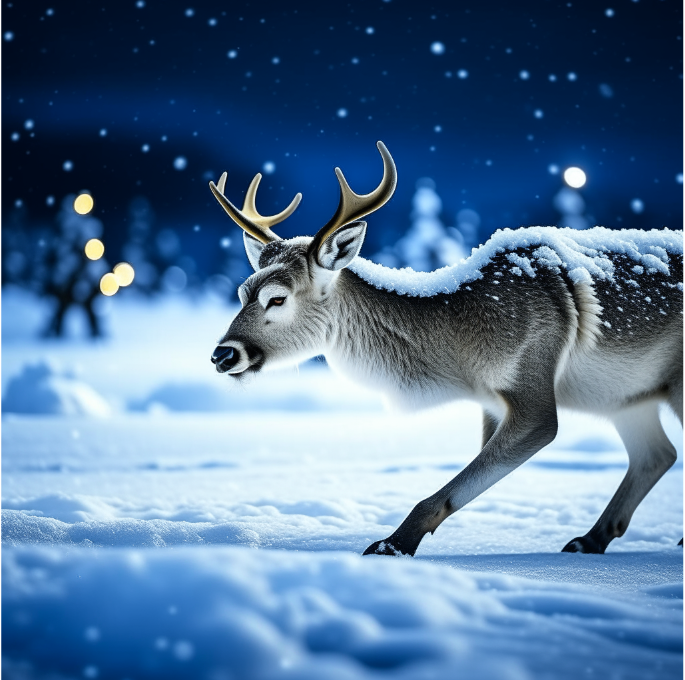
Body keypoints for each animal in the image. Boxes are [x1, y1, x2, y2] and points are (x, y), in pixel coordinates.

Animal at [209, 141, 683, 557]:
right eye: (242, 292)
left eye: (277, 298)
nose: (222, 354)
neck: (461, 363)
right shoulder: (490, 403)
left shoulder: (533, 385)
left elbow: (459, 483)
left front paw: (392, 544)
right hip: (626, 398)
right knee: (657, 455)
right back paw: (590, 540)